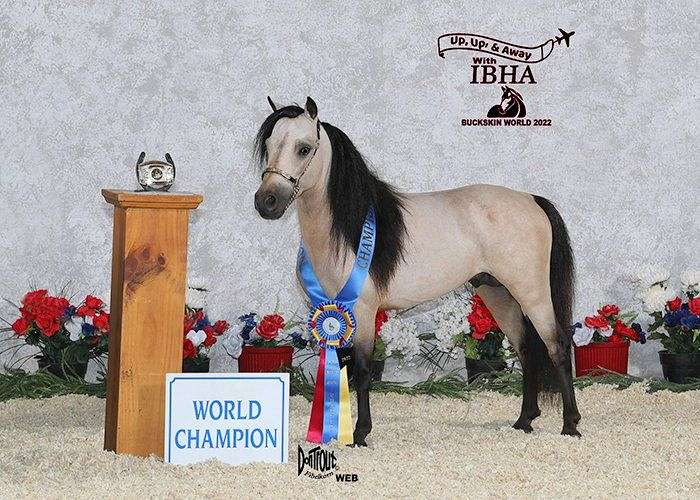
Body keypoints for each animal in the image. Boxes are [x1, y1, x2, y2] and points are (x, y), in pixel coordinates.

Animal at [253, 96, 580, 446]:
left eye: (303, 148)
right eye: (269, 145)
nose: (266, 201)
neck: (347, 229)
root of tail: (532, 200)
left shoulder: (364, 310)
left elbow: (362, 370)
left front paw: (361, 433)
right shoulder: (333, 310)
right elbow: (340, 367)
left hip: (531, 292)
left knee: (557, 346)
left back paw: (570, 425)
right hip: (498, 294)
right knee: (526, 350)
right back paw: (524, 421)